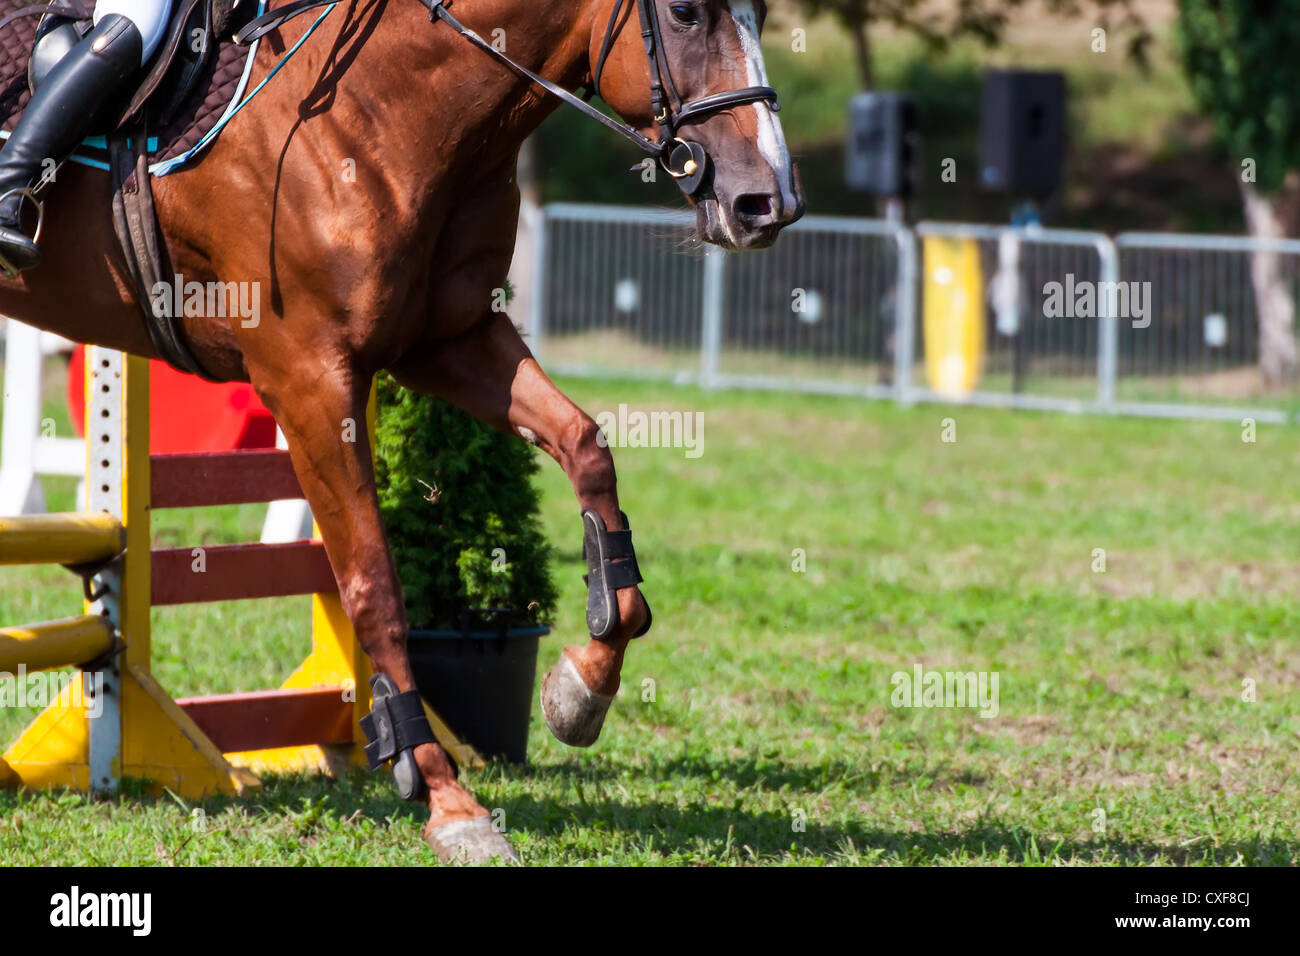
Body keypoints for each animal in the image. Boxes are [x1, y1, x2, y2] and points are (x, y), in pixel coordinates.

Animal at [0, 0, 804, 862]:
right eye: (684, 14)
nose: (769, 203)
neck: (386, 113)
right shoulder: (309, 379)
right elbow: (374, 586)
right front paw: (450, 801)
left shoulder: (448, 342)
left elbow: (587, 448)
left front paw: (580, 689)